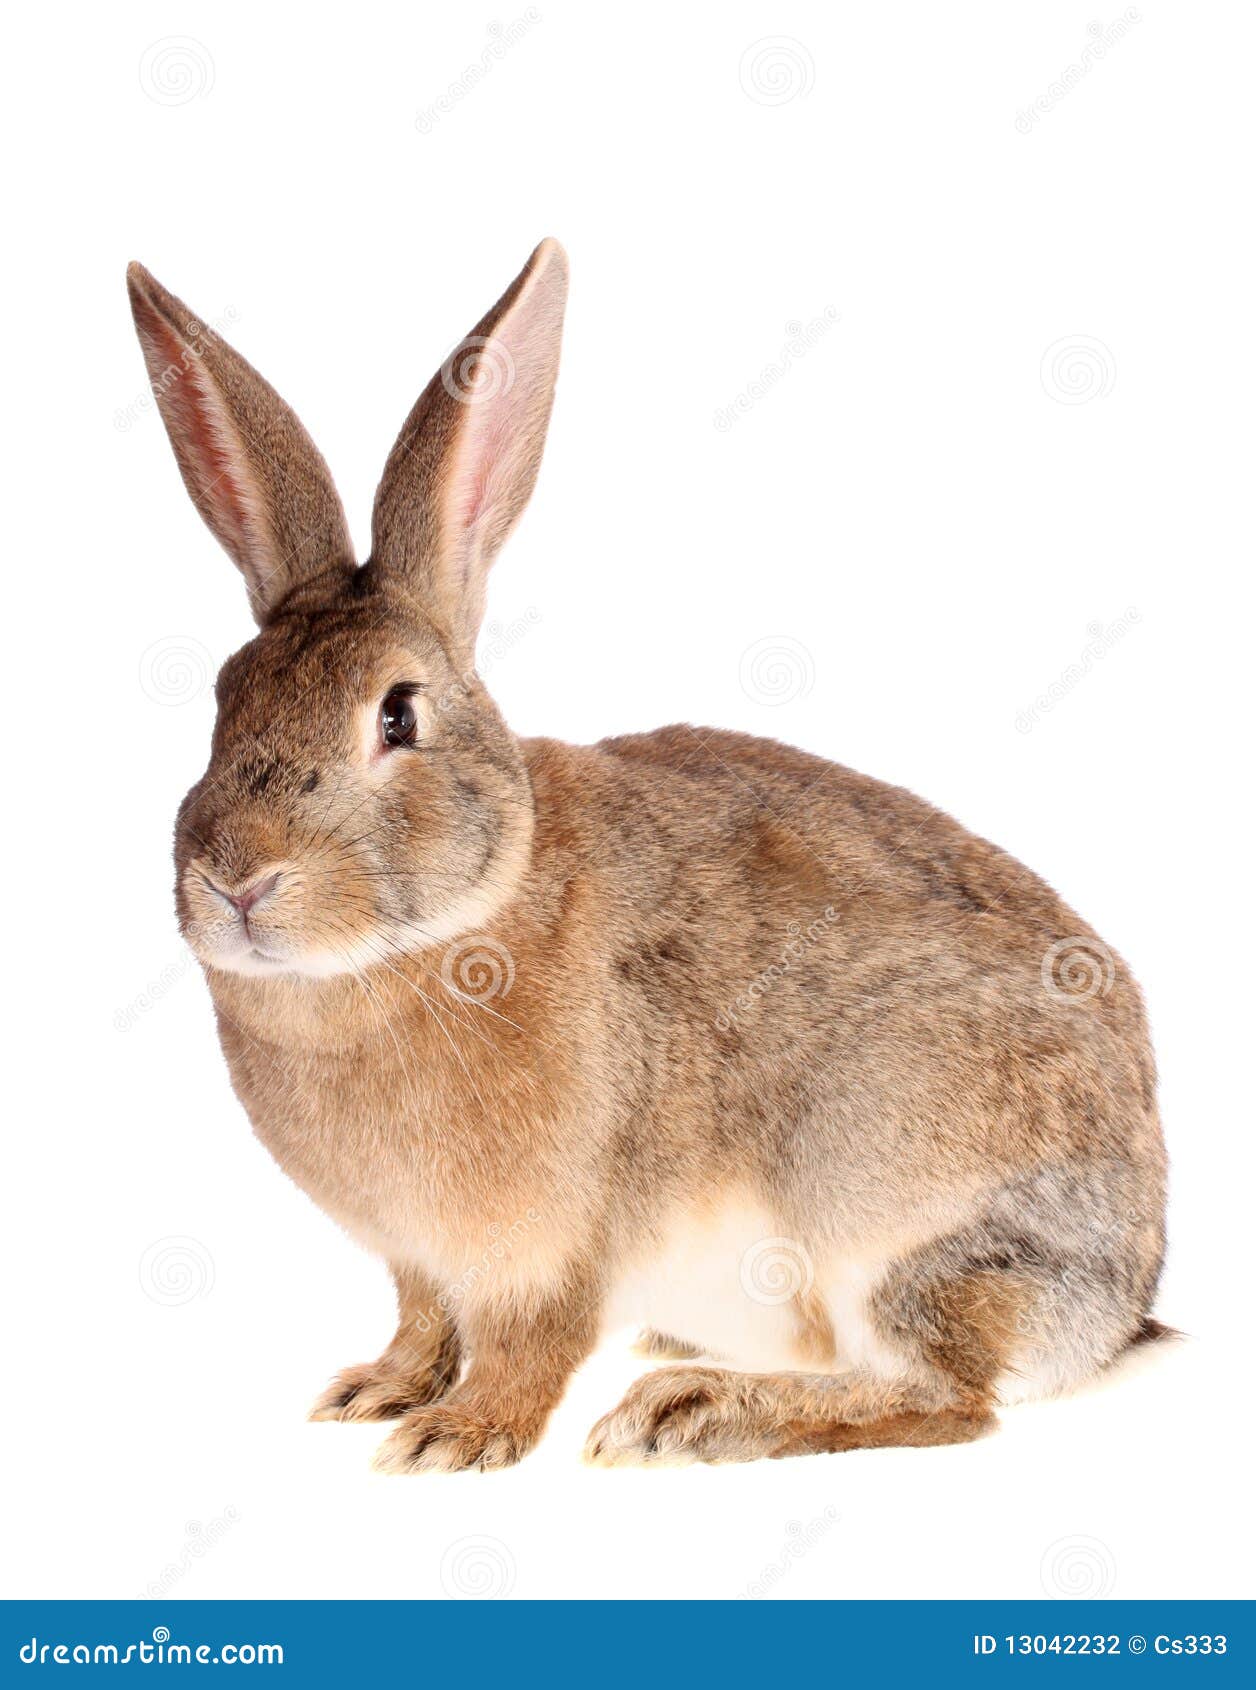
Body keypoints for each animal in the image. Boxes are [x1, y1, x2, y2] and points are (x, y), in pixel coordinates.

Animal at [127, 239, 1169, 1472]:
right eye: (223, 698)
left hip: (886, 1204)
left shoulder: (554, 1244)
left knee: (945, 1395)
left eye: (396, 715)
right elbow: (422, 1321)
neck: (450, 922)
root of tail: (1117, 1304)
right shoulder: (418, 1261)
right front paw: (375, 1390)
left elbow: (530, 1348)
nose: (237, 879)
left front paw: (455, 1438)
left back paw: (696, 1409)